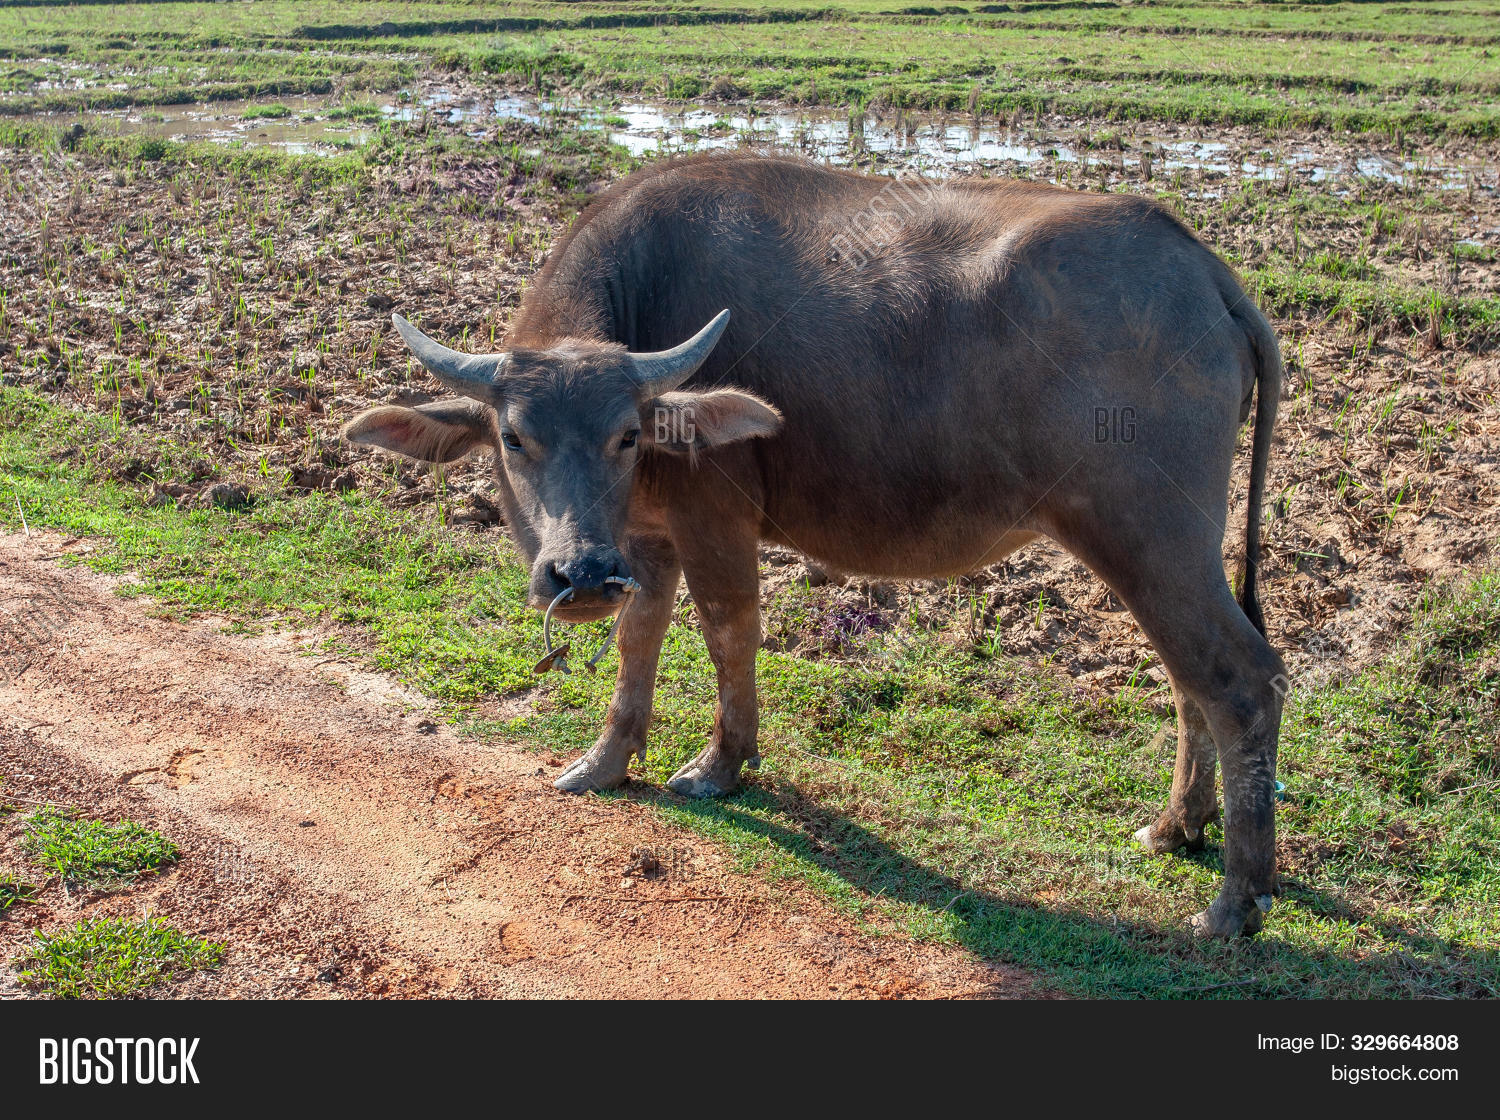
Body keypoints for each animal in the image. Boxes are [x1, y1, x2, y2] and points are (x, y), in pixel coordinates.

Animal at [343, 152, 1285, 938]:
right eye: (514, 437)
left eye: (625, 433)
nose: (580, 575)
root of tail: (1205, 271)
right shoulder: (644, 539)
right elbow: (639, 638)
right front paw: (606, 761)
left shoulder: (713, 521)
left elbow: (728, 630)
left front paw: (721, 764)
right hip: (1165, 551)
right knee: (1189, 681)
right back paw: (1177, 827)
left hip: (1148, 536)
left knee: (1240, 678)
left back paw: (1235, 902)